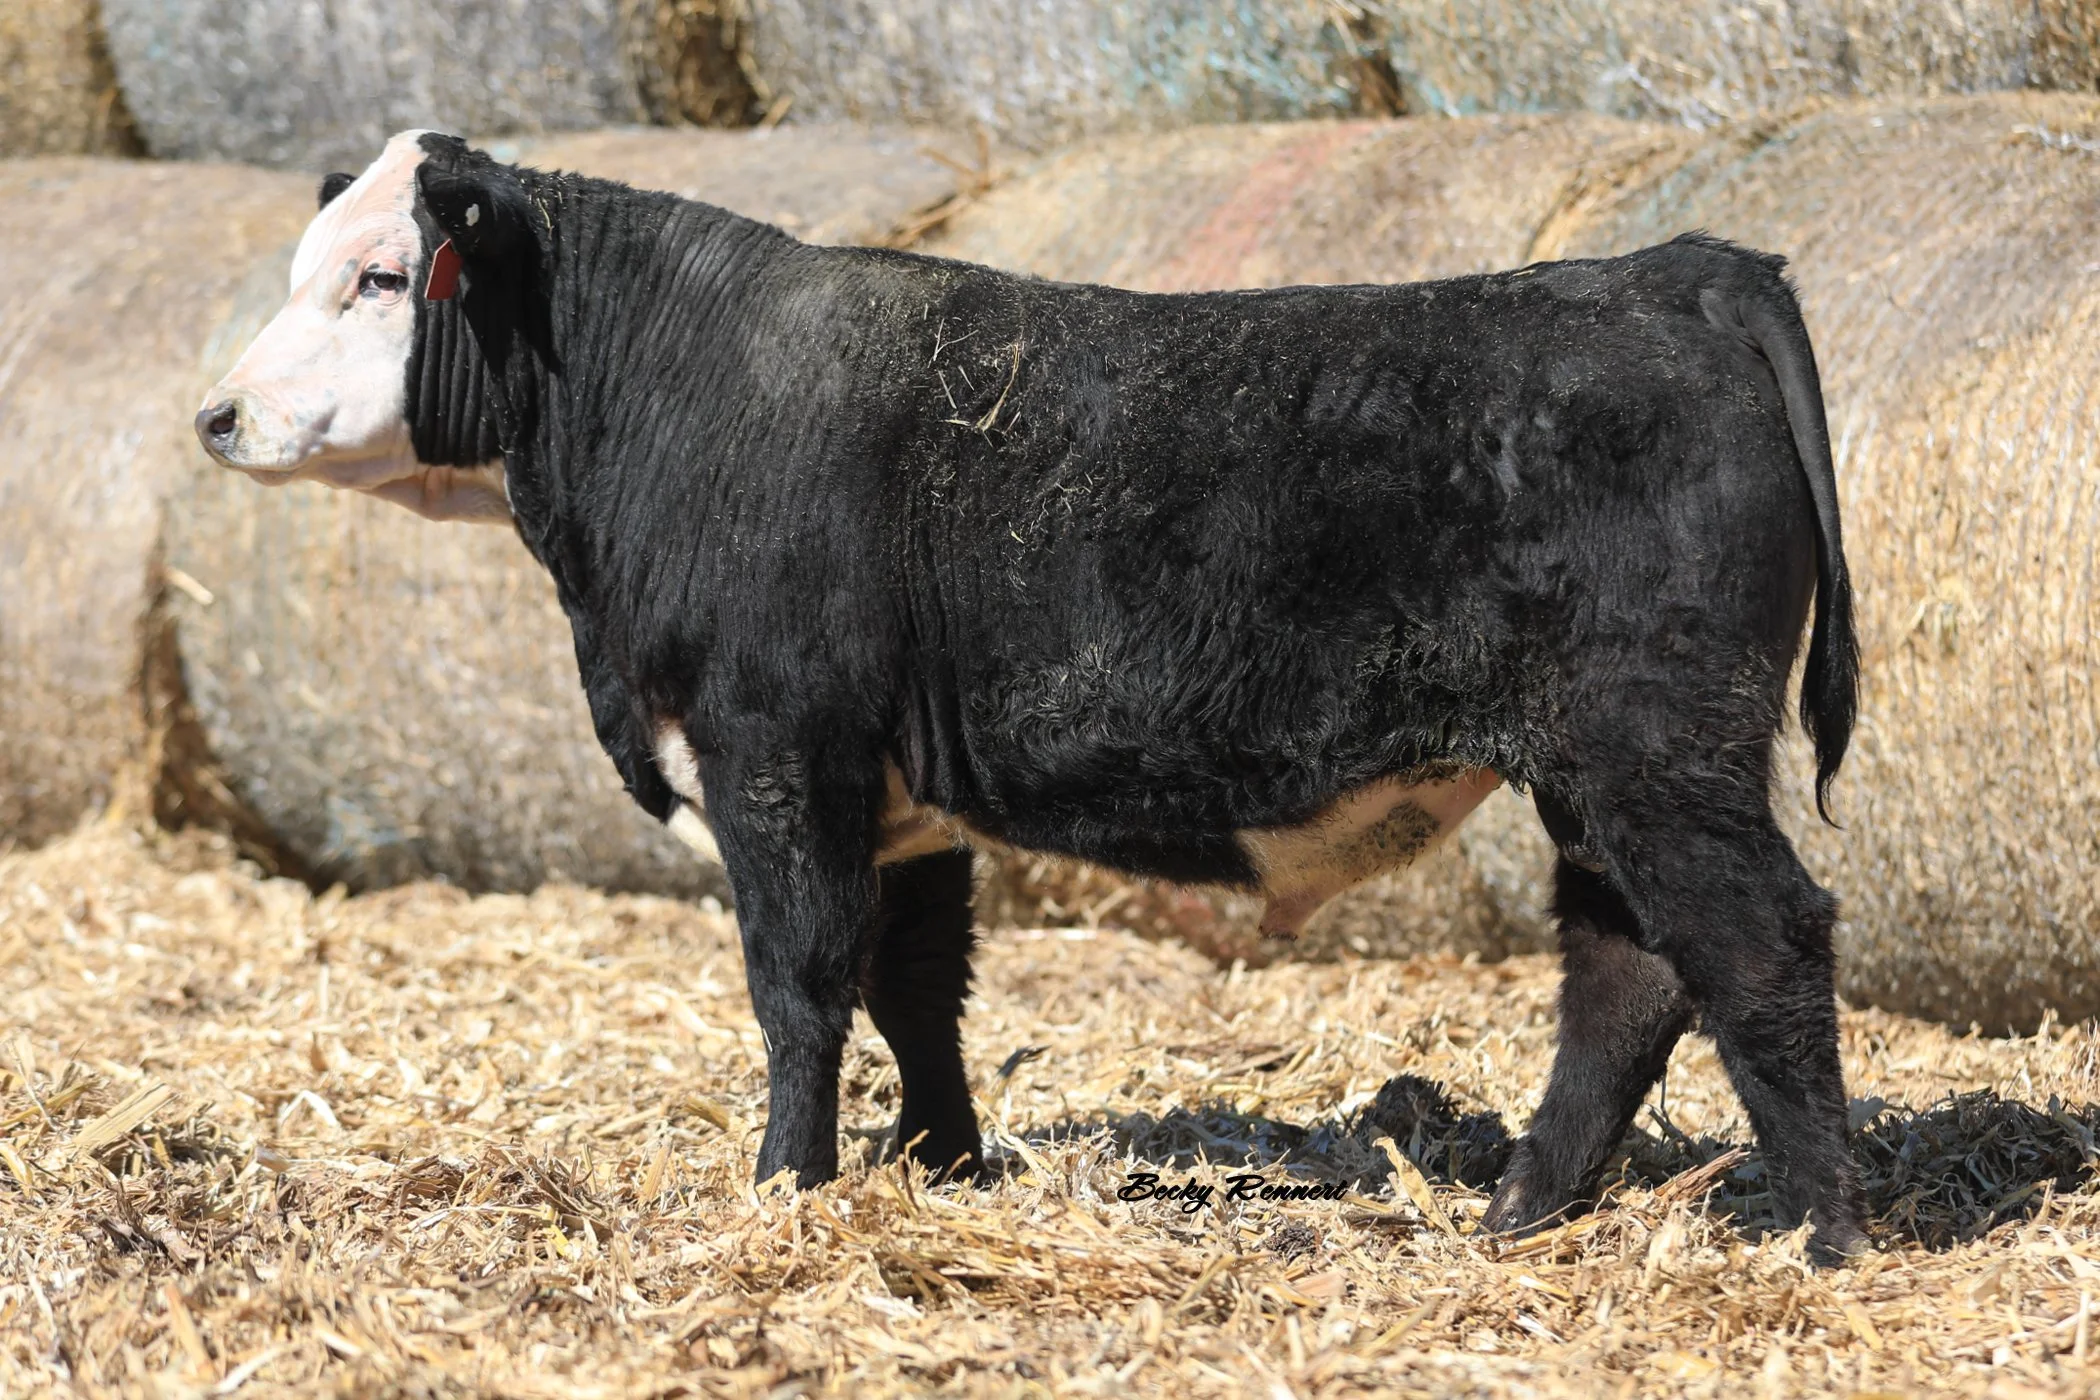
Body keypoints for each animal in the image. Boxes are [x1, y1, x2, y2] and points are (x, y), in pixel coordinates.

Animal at [197, 130, 1866, 1260]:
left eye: (383, 276)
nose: (215, 415)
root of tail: (1670, 272)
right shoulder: (896, 796)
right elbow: (914, 985)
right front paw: (940, 1161)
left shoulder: (776, 751)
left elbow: (800, 981)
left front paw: (785, 1186)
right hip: (1602, 771)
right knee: (1629, 969)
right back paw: (1523, 1204)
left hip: (1658, 747)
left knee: (1757, 939)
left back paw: (1825, 1224)